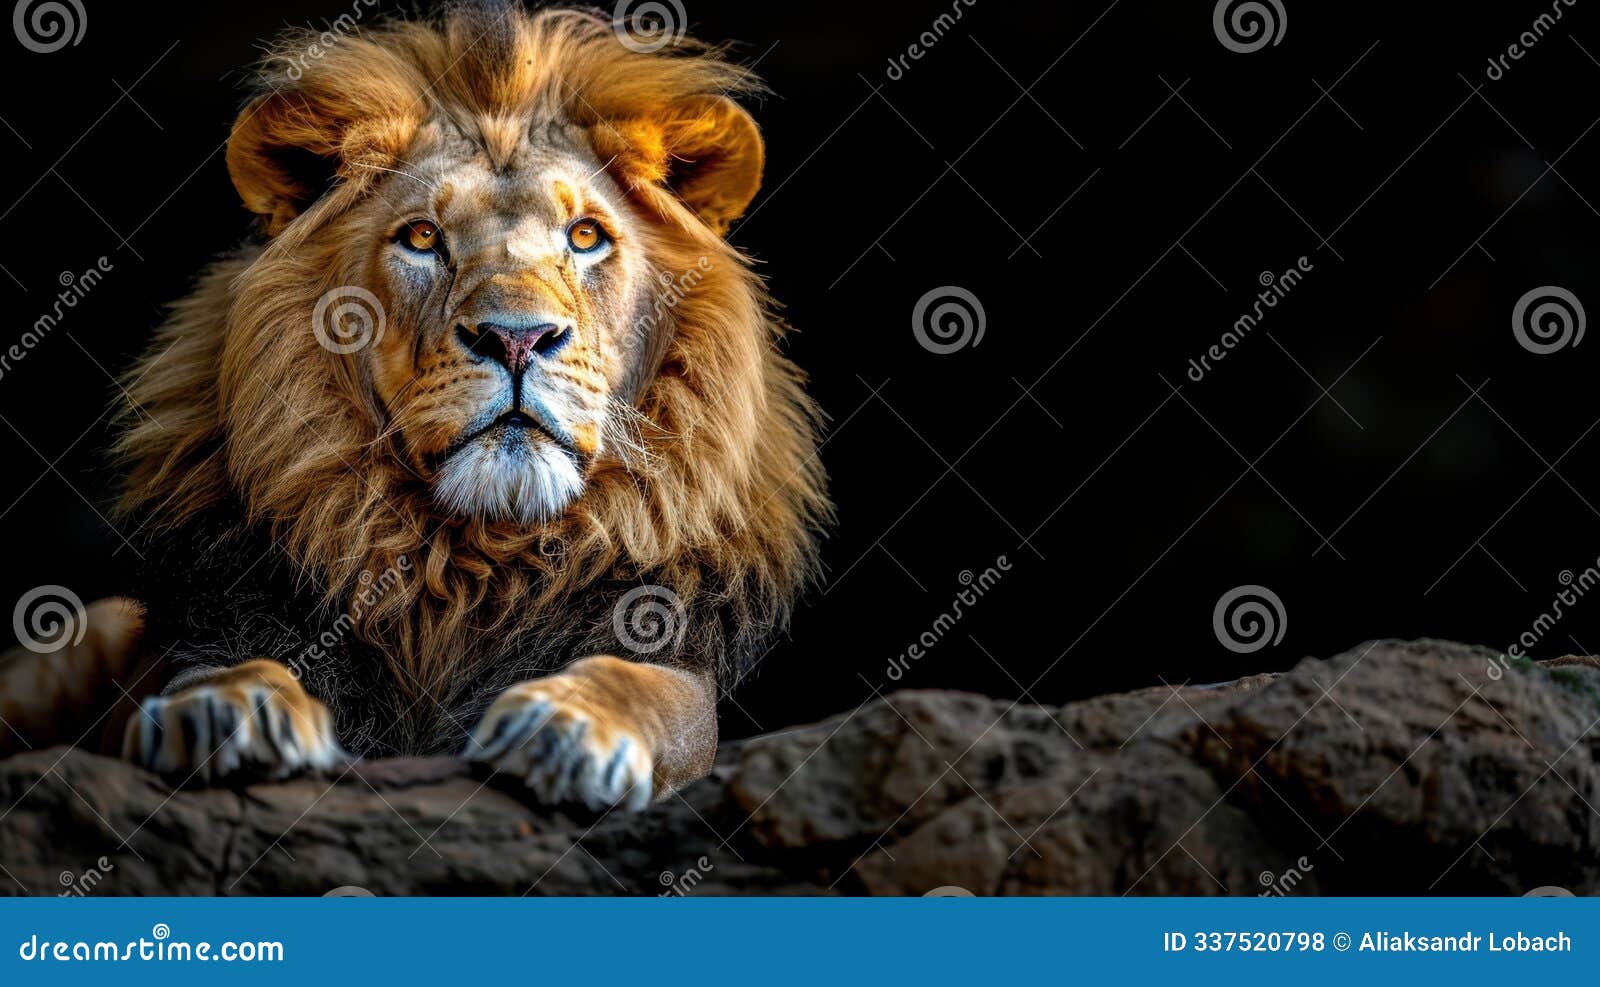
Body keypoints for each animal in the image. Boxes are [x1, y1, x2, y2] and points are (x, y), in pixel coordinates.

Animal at [0, 2, 828, 812]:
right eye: (424, 237)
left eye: (586, 235)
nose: (517, 337)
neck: (468, 560)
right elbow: (234, 663)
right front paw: (228, 707)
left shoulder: (665, 648)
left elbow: (648, 687)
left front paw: (565, 724)